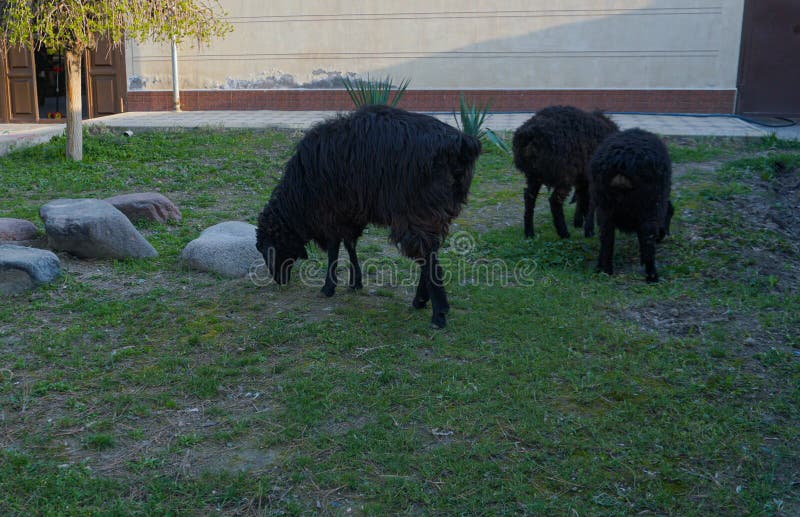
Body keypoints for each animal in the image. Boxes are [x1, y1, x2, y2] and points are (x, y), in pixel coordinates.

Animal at [255, 105, 482, 329]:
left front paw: (328, 287)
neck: (299, 198)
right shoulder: (350, 212)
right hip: (436, 212)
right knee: (430, 253)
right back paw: (421, 300)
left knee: (427, 256)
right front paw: (355, 282)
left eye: (268, 249)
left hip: (416, 211)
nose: (279, 281)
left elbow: (333, 249)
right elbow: (350, 245)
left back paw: (438, 313)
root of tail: (462, 143)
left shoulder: (330, 212)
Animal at [512, 106, 619, 239]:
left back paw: (529, 232)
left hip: (534, 174)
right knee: (554, 201)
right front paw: (588, 229)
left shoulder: (582, 177)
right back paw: (563, 233)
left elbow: (582, 198)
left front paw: (579, 221)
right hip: (564, 174)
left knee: (529, 197)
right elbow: (590, 201)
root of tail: (530, 135)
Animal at [589, 128, 674, 282]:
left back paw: (604, 270)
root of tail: (622, 160)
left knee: (606, 238)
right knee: (647, 236)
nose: (662, 237)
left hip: (604, 206)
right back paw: (652, 276)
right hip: (649, 205)